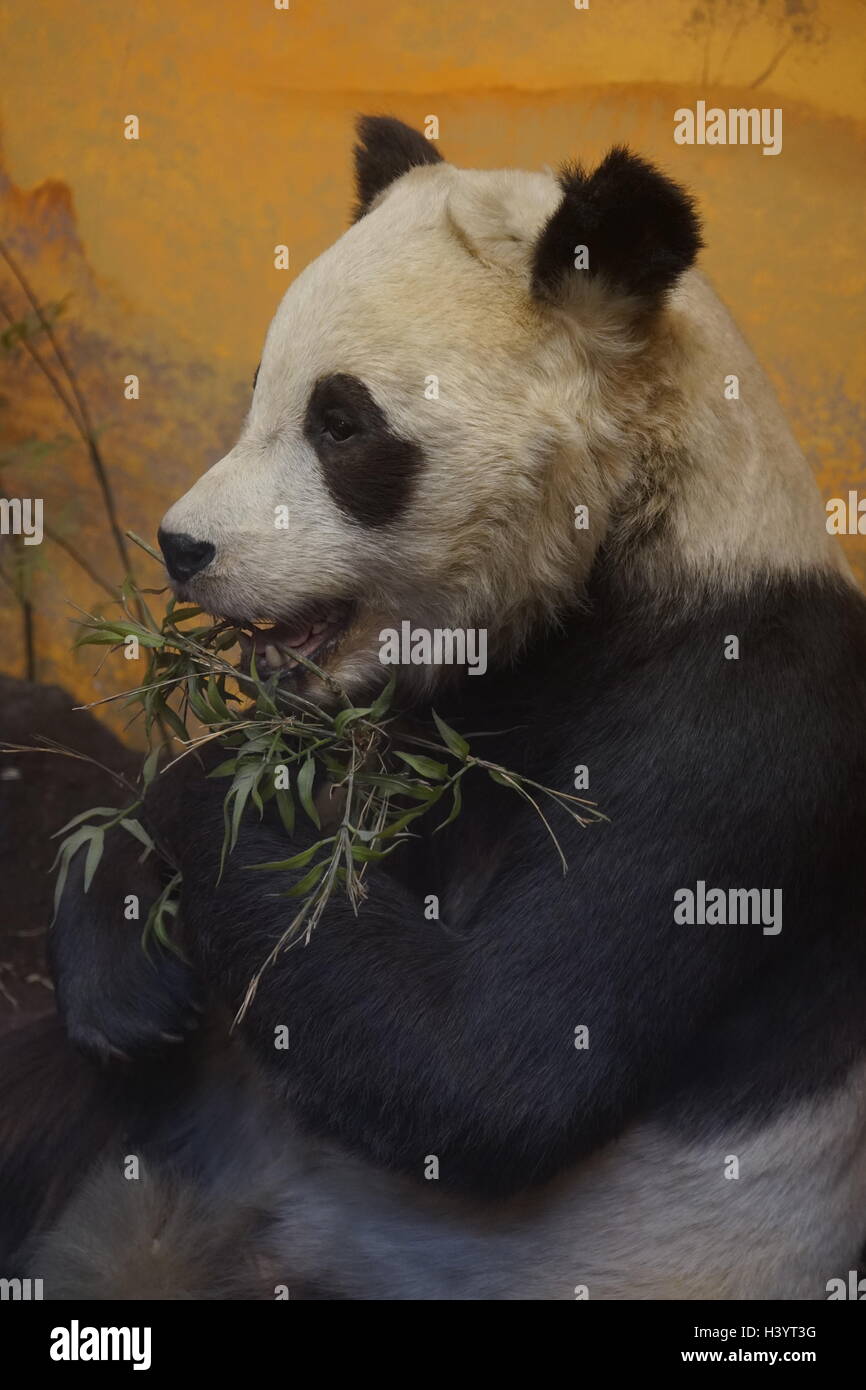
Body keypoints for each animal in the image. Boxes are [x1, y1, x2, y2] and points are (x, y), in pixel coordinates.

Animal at [4, 116, 866, 1300]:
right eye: (260, 394)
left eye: (339, 424)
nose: (182, 547)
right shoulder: (430, 727)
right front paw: (125, 975)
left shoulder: (734, 711)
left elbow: (490, 1061)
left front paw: (192, 782)